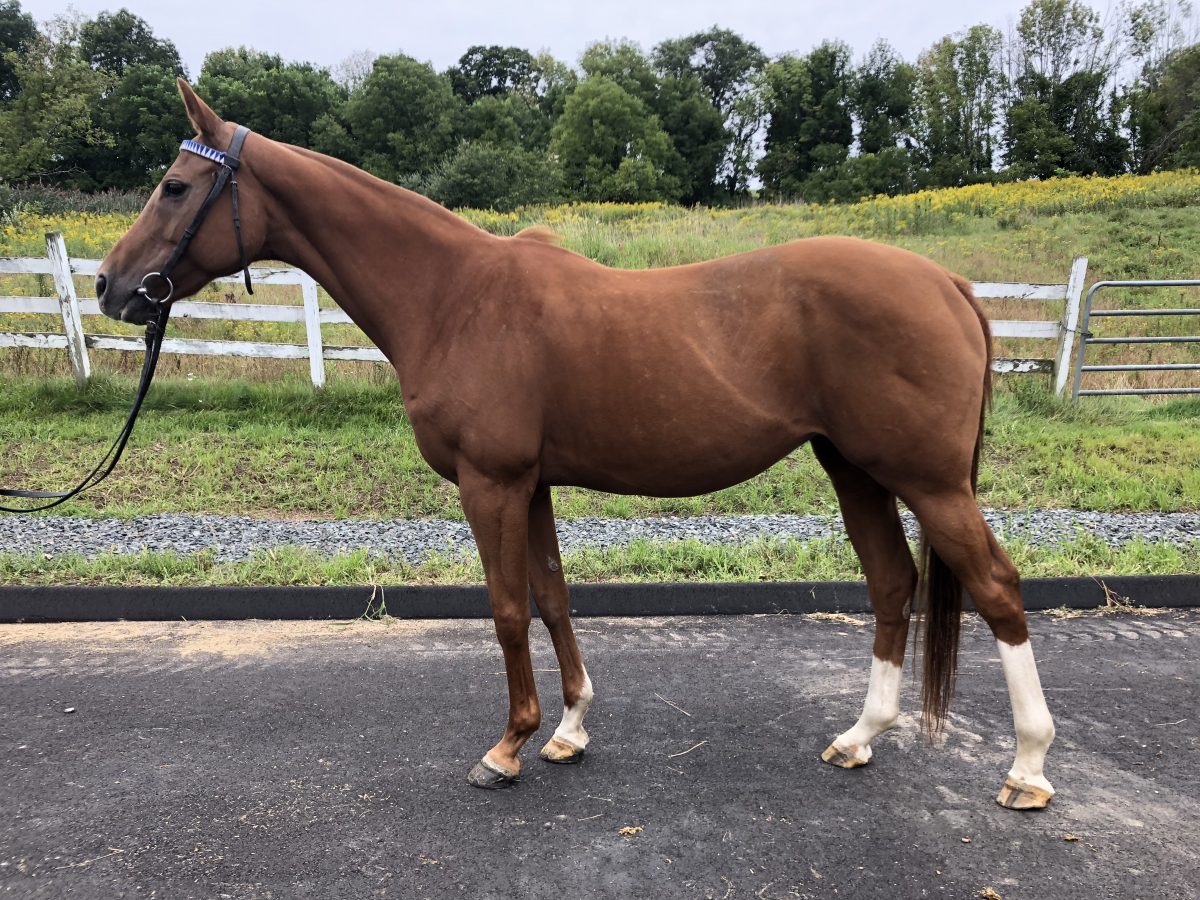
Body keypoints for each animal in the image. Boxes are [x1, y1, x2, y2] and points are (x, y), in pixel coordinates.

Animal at [94, 80, 1056, 808]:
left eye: (176, 187)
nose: (109, 285)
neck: (454, 295)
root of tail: (947, 282)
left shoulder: (490, 483)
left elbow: (507, 609)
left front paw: (507, 748)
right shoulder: (534, 485)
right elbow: (554, 599)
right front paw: (568, 731)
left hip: (930, 481)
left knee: (998, 590)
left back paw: (1029, 768)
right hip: (855, 468)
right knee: (892, 586)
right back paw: (860, 737)